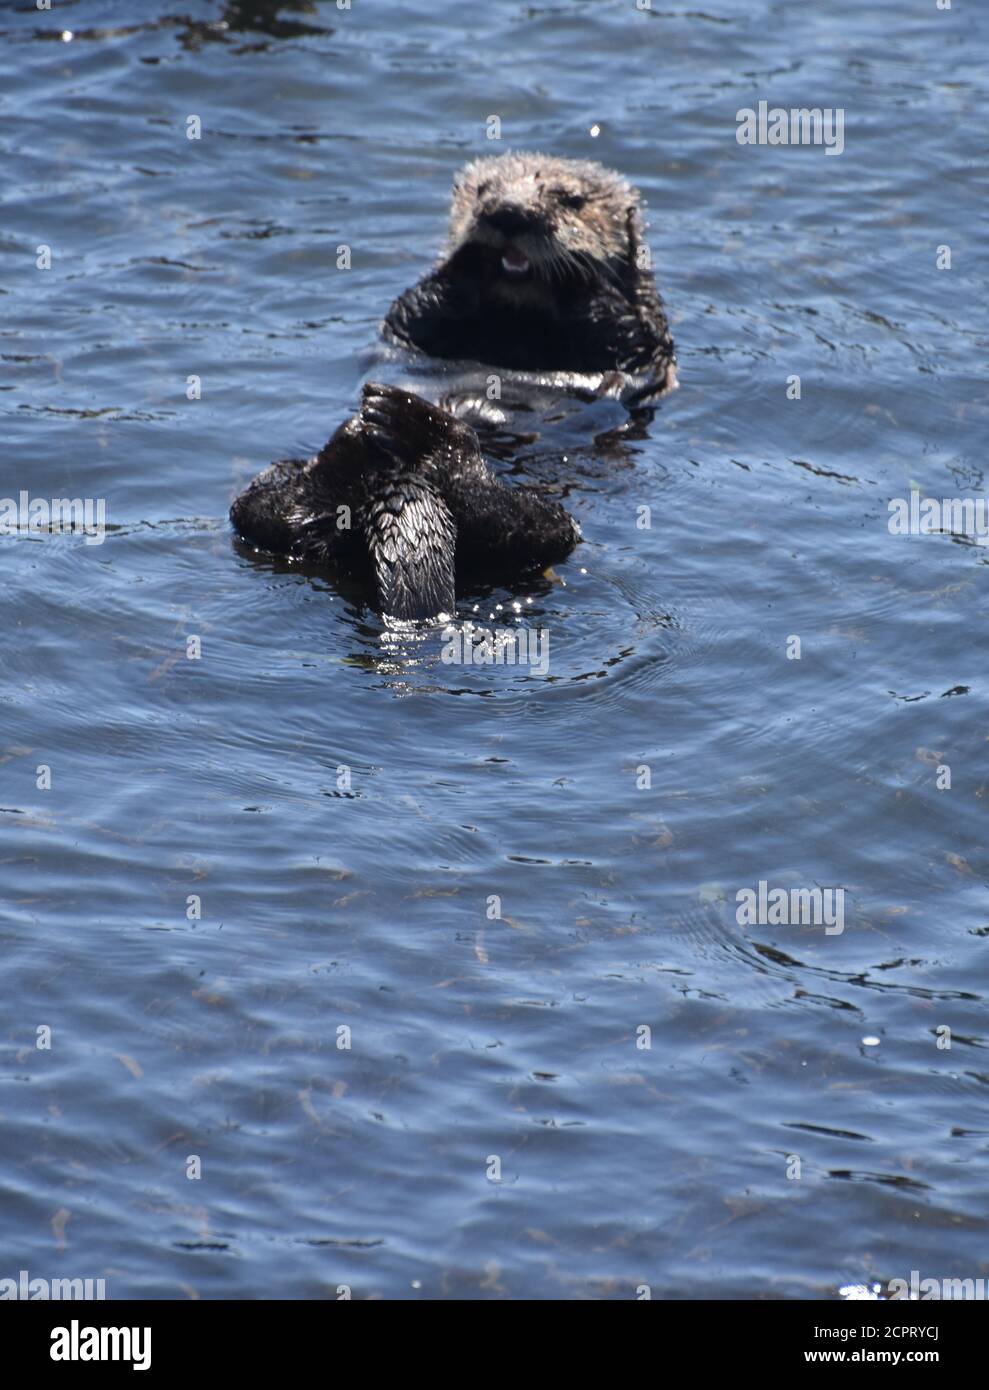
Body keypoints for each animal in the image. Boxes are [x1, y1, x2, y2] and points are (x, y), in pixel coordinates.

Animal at [382, 152, 677, 402]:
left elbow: (631, 345)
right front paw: (473, 255)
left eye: (573, 200)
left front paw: (573, 270)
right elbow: (407, 315)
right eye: (481, 189)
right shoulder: (406, 334)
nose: (510, 211)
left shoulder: (648, 342)